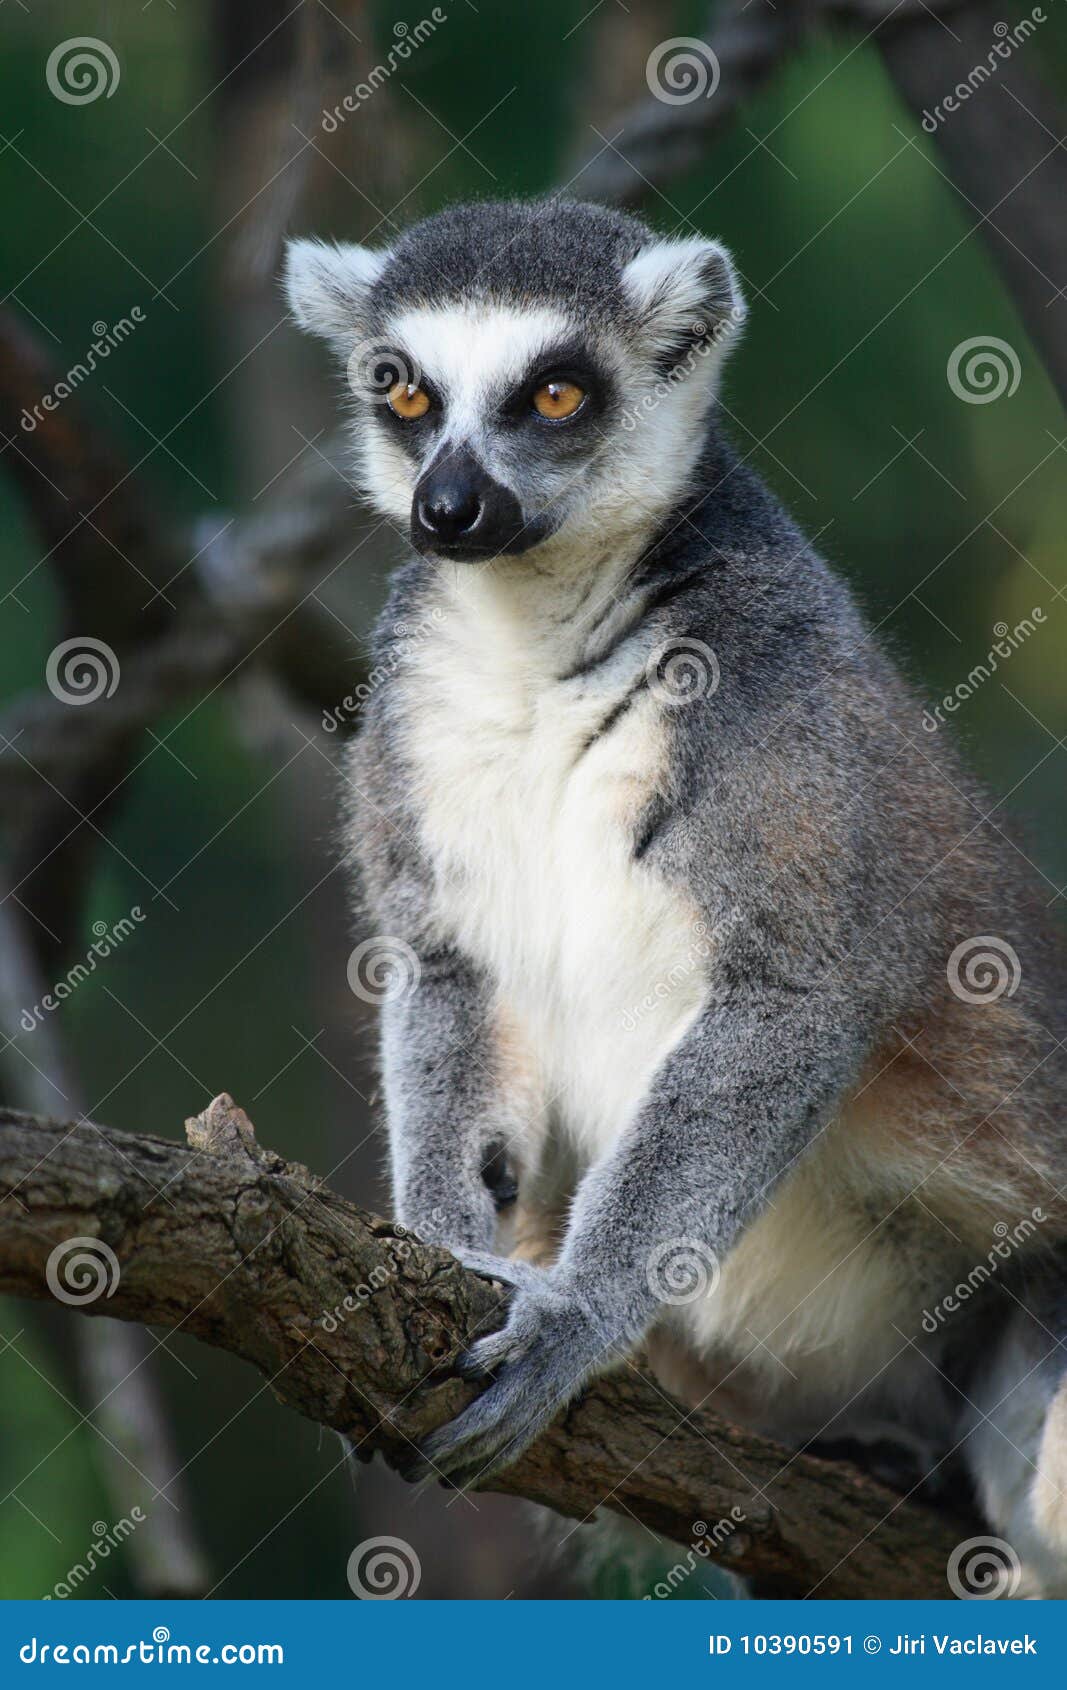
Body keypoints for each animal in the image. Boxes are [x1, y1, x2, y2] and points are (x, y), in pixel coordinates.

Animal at [285, 198, 1067, 1596]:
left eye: (554, 393)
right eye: (402, 389)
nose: (447, 507)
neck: (531, 638)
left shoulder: (769, 695)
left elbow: (790, 995)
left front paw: (571, 1319)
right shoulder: (410, 723)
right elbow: (444, 967)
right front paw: (440, 1249)